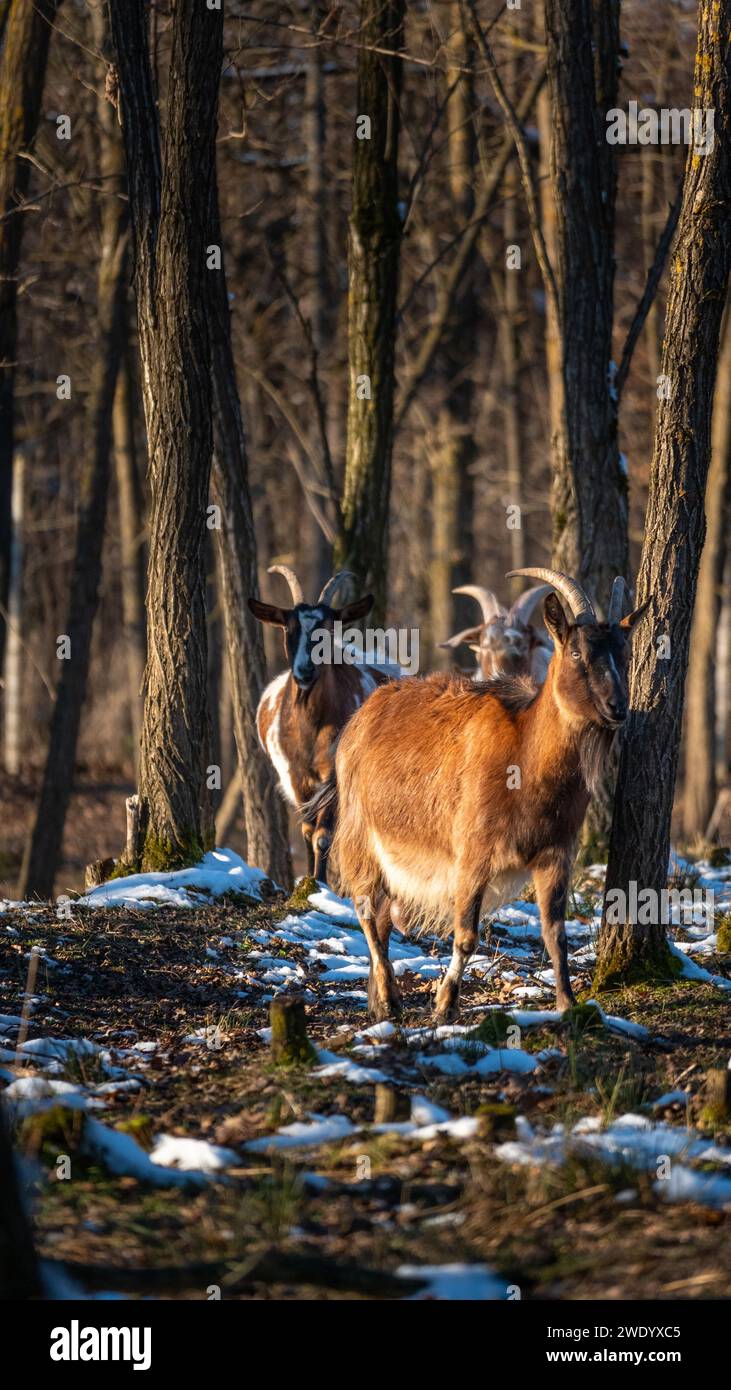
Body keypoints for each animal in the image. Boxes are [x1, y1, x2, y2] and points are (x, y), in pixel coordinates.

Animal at [249, 566, 394, 883]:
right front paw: (309, 881)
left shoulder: (332, 775)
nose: (304, 670)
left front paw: (321, 883)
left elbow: (324, 835)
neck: (310, 728)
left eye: (326, 630)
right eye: (288, 629)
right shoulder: (295, 775)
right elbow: (307, 831)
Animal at [325, 568, 643, 1020]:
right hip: (361, 835)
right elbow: (466, 935)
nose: (617, 708)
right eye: (577, 653)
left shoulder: (556, 853)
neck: (526, 758)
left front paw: (568, 1003)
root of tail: (363, 714)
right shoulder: (472, 852)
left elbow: (555, 933)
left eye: (623, 652)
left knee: (383, 918)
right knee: (368, 910)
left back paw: (387, 998)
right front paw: (444, 1006)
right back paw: (387, 1000)